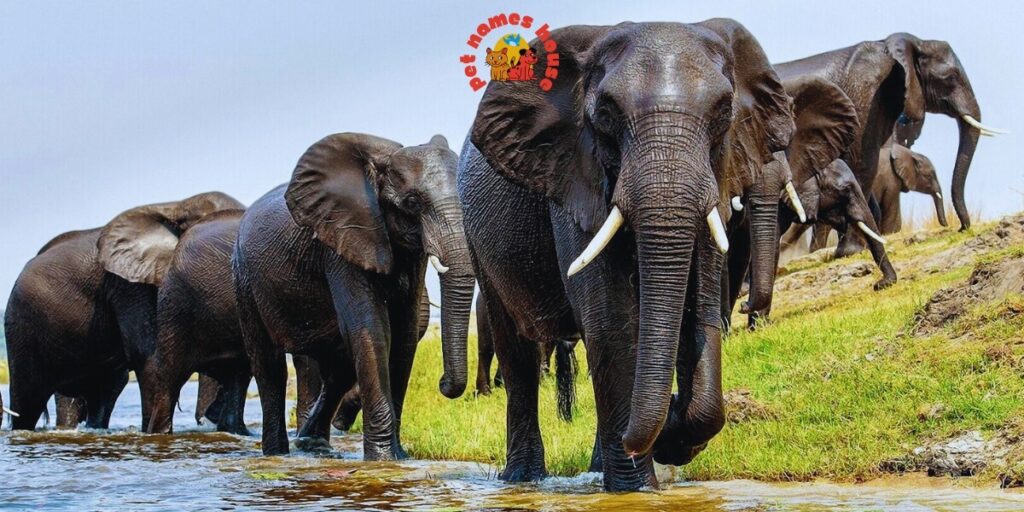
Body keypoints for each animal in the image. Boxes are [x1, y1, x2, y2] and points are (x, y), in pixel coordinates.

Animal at [3, 192, 244, 430]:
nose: (209, 417)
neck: (175, 206)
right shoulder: (126, 285)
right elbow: (146, 354)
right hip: (20, 325)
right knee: (27, 401)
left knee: (107, 389)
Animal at [234, 132, 474, 460]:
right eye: (412, 203)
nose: (443, 383)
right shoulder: (341, 242)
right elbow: (373, 330)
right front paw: (382, 459)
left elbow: (404, 335)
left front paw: (399, 457)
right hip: (244, 279)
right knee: (269, 366)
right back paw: (277, 454)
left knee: (339, 369)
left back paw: (312, 443)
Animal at [459, 20, 796, 490]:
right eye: (605, 114)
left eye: (723, 112)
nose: (670, 406)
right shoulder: (574, 174)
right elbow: (612, 323)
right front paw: (638, 487)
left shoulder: (719, 171)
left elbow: (700, 310)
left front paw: (672, 435)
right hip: (478, 240)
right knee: (518, 354)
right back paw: (524, 480)